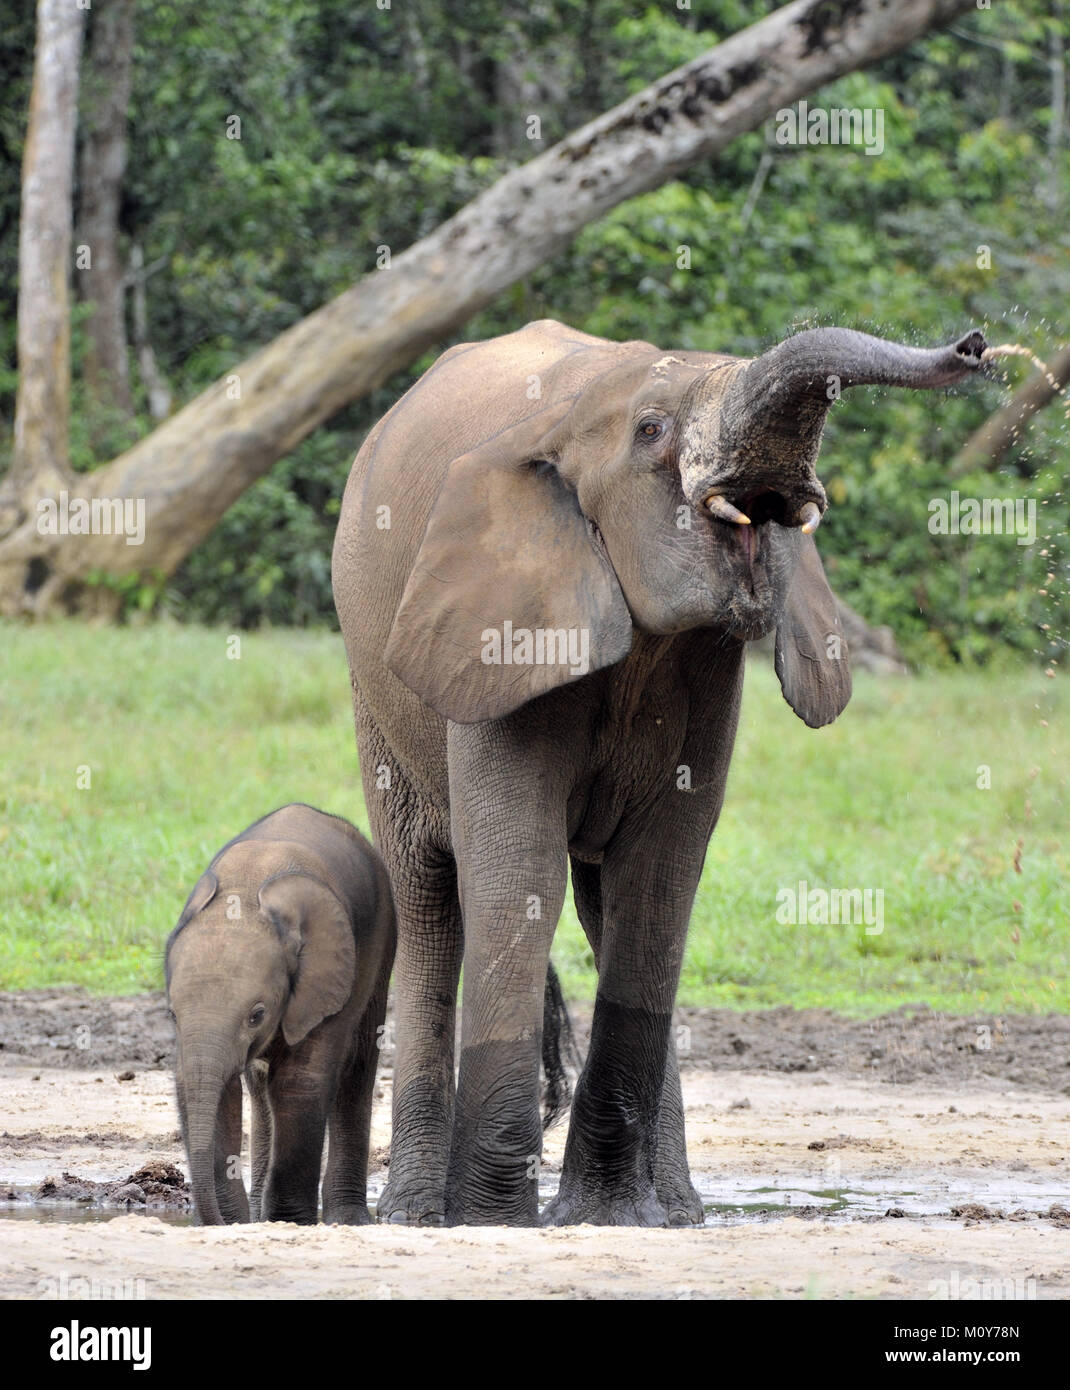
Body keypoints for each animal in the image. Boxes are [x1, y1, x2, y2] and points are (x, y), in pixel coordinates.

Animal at [165, 803, 395, 1225]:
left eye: (257, 1015)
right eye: (171, 1015)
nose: (214, 1222)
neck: (244, 891)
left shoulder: (324, 978)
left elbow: (299, 1082)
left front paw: (289, 1222)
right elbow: (222, 1091)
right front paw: (239, 1223)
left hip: (383, 933)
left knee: (358, 1062)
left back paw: (347, 1219)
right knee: (259, 1084)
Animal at [331, 318, 988, 1227]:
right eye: (651, 430)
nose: (975, 346)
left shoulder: (708, 674)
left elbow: (660, 877)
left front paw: (606, 1218)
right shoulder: (497, 627)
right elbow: (517, 869)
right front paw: (496, 1222)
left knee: (607, 908)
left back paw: (676, 1211)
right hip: (376, 684)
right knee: (426, 895)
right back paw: (415, 1215)